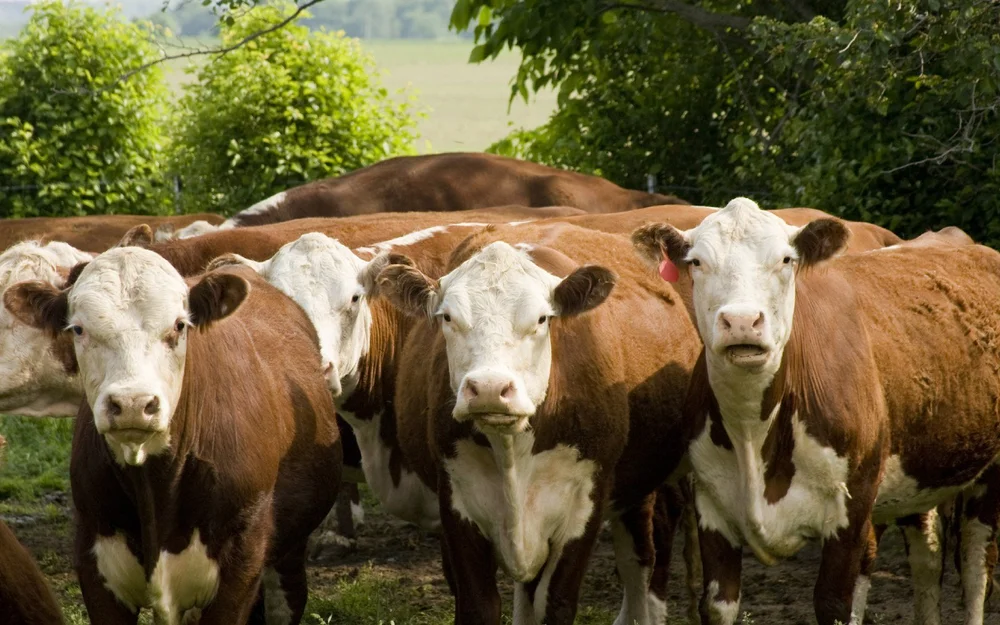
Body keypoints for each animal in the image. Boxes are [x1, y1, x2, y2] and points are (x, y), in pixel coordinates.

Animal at [631, 197, 1000, 625]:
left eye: (786, 259)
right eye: (696, 262)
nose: (741, 321)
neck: (752, 434)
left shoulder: (852, 510)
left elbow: (834, 603)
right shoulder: (712, 508)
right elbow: (718, 606)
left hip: (988, 474)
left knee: (975, 564)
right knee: (927, 556)